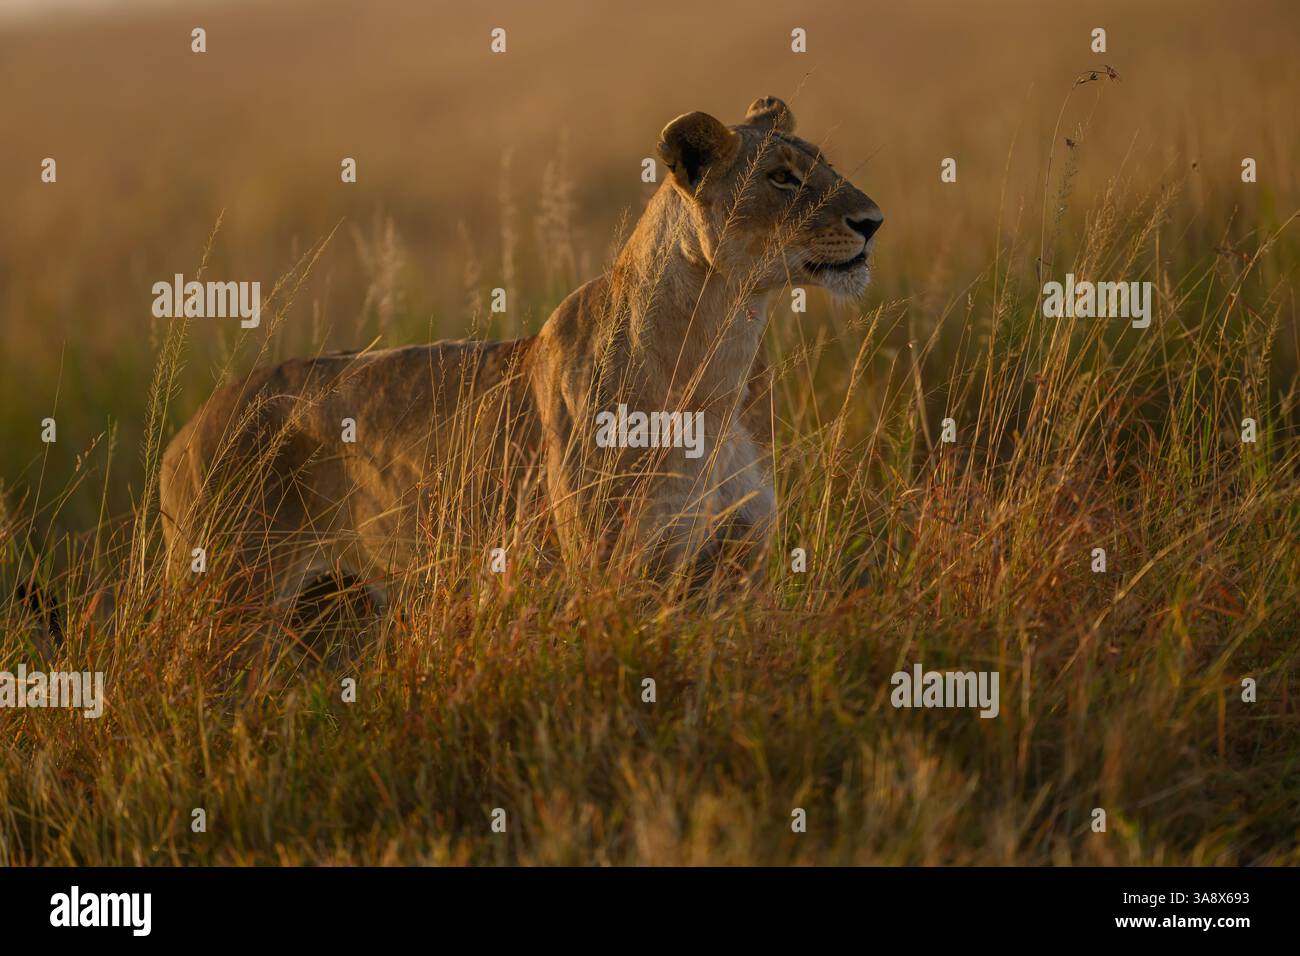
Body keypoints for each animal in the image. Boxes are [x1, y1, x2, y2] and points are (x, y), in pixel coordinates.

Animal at [159, 96, 883, 617]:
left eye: (825, 166)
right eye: (782, 178)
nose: (873, 220)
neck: (718, 361)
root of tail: (185, 432)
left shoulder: (736, 569)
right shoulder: (611, 566)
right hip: (229, 596)